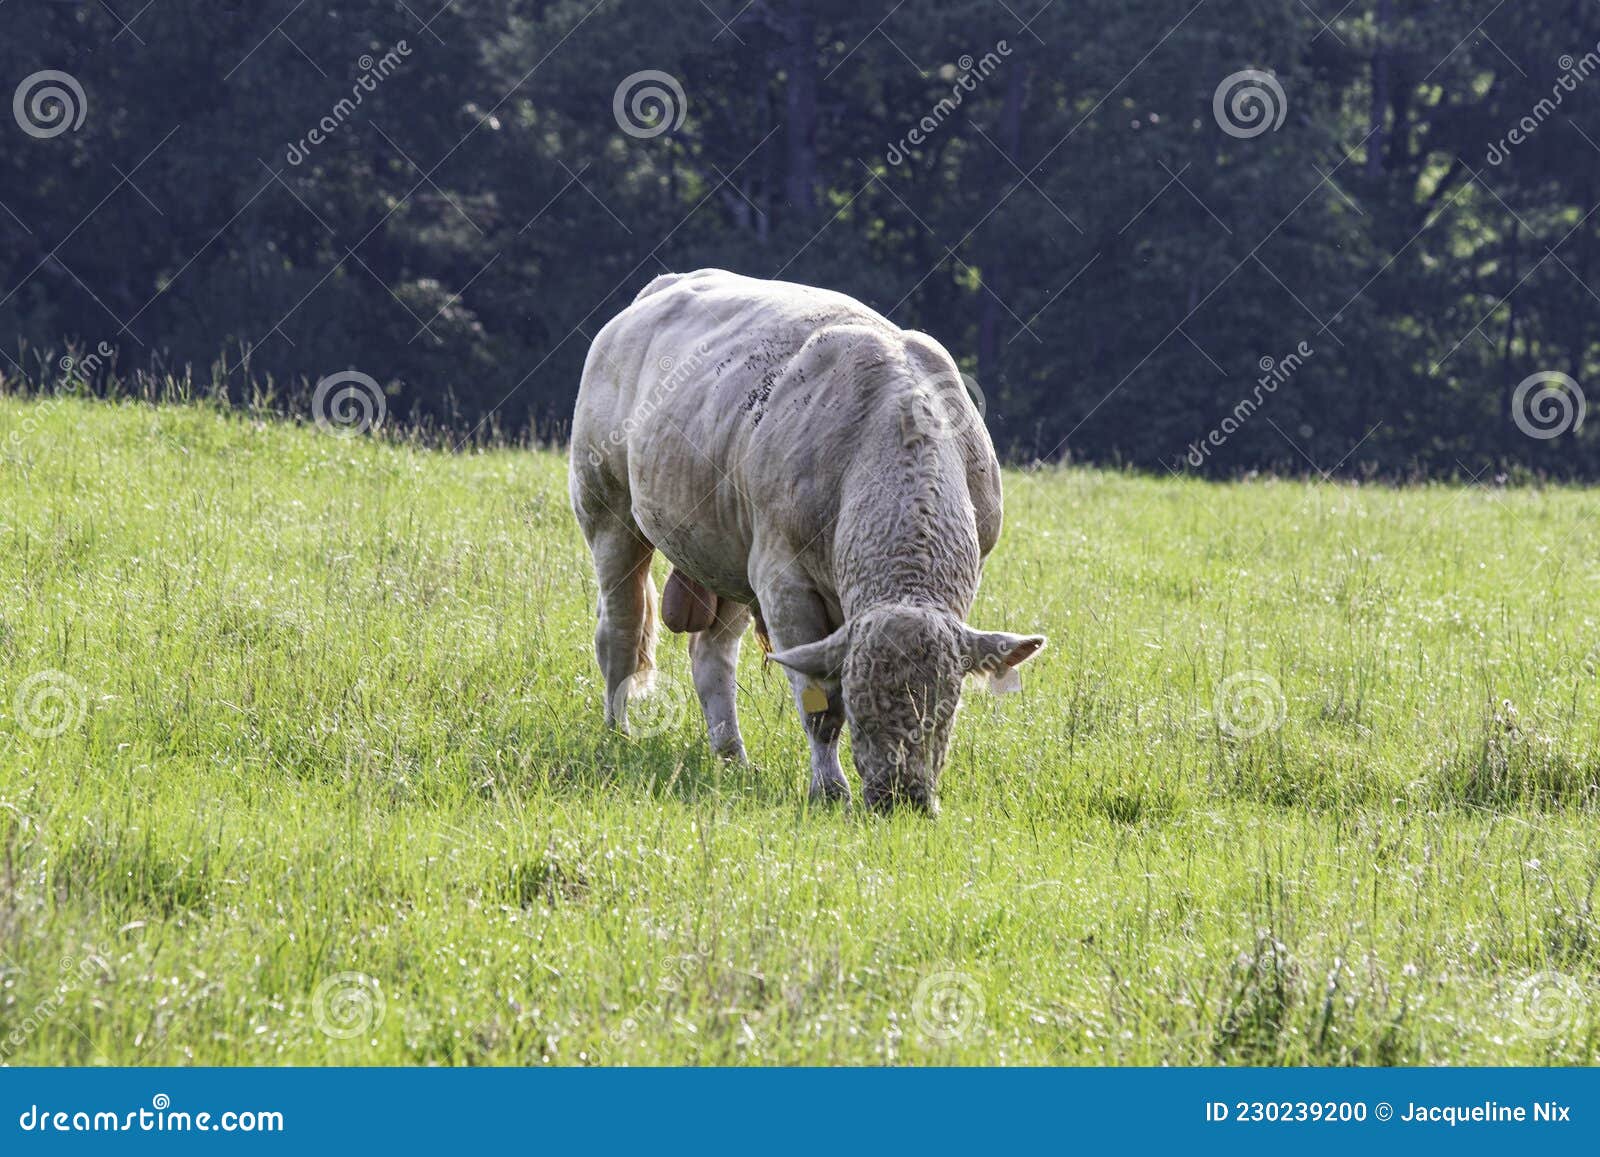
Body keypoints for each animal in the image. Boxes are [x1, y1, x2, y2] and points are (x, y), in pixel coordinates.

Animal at [569, 269, 1044, 812]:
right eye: (859, 705)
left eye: (945, 707)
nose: (899, 798)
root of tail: (663, 285)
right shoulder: (784, 585)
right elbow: (820, 706)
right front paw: (830, 789)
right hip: (608, 514)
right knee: (621, 628)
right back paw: (618, 731)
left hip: (729, 556)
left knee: (711, 654)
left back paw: (733, 758)